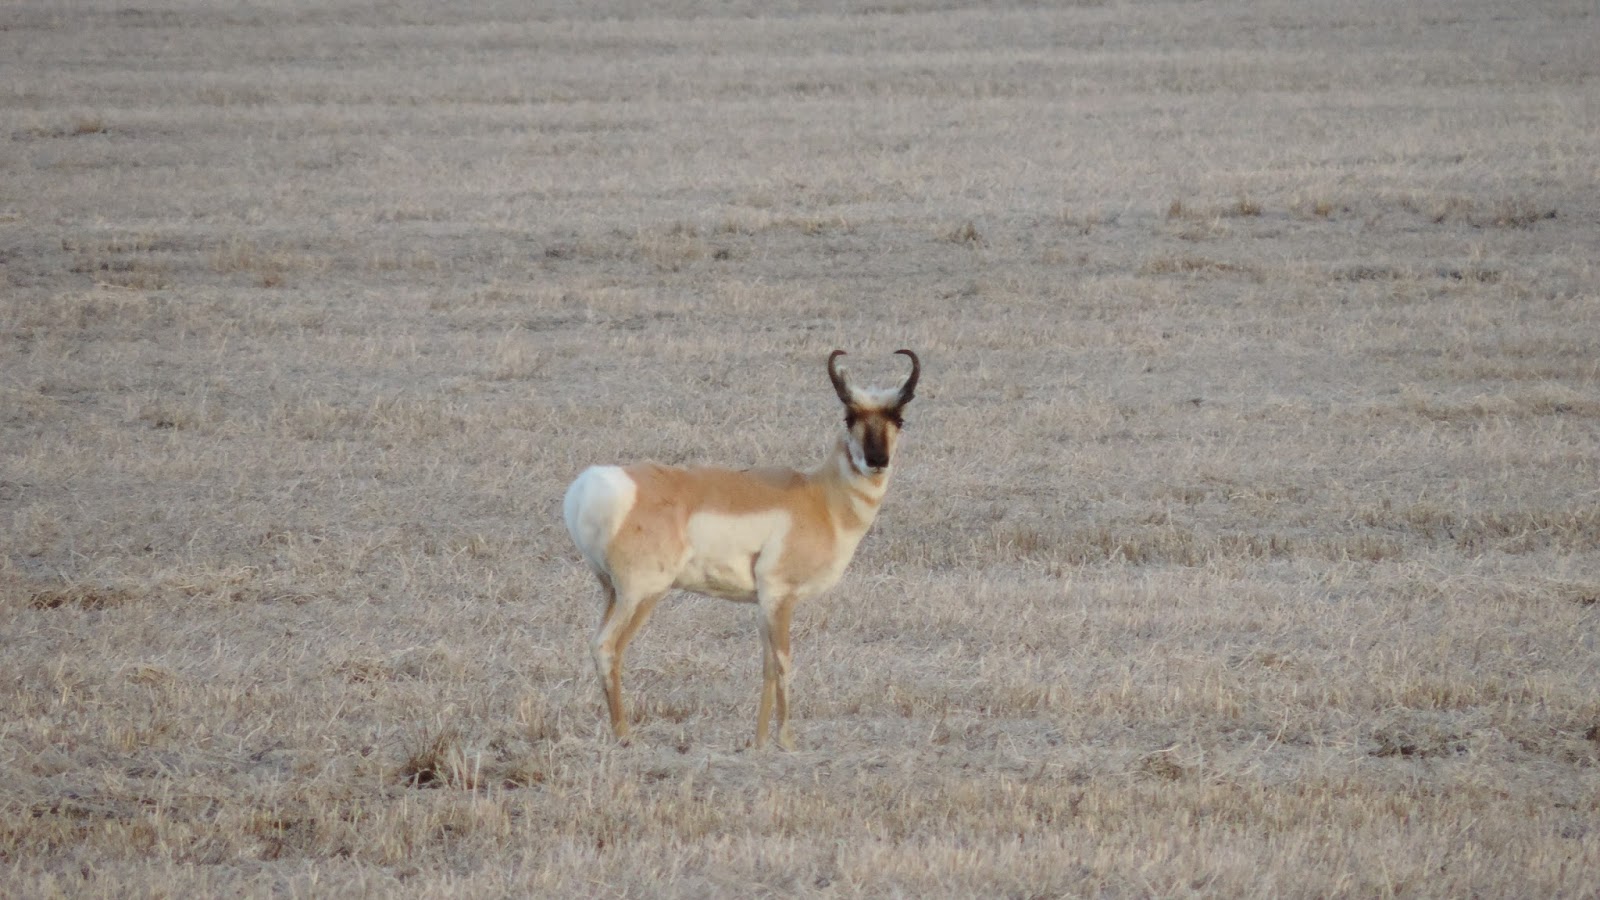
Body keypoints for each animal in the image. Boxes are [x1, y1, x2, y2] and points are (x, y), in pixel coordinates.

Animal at [562, 349, 920, 749]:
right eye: (849, 417)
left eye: (899, 418)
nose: (877, 461)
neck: (820, 497)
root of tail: (598, 485)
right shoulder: (780, 595)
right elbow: (783, 661)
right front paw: (787, 742)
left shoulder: (763, 604)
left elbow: (766, 666)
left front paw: (759, 742)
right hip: (642, 594)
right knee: (607, 647)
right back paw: (625, 736)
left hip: (611, 592)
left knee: (598, 644)